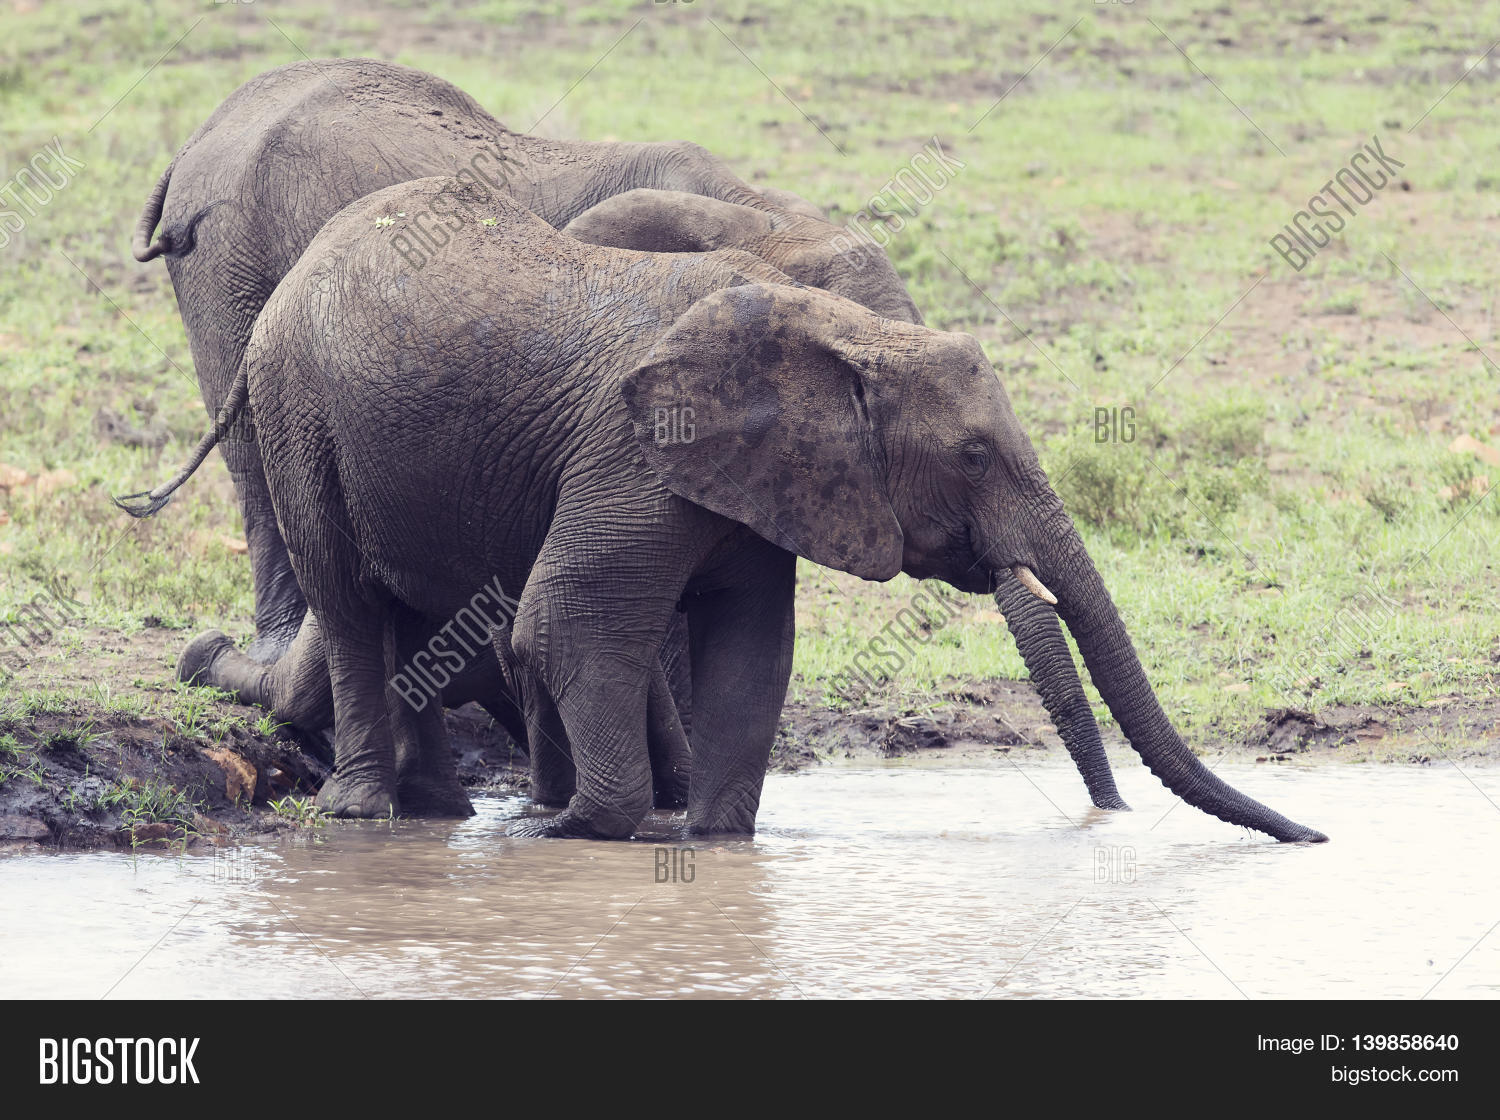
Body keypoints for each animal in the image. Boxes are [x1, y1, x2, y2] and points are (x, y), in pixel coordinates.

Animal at [133, 177, 1326, 844]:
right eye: (975, 453)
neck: (819, 325)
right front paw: (582, 830)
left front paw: (710, 839)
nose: (1314, 840)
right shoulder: (633, 450)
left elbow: (755, 646)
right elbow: (570, 618)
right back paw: (369, 815)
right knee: (351, 599)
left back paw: (443, 814)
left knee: (414, 610)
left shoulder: (757, 478)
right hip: (298, 410)